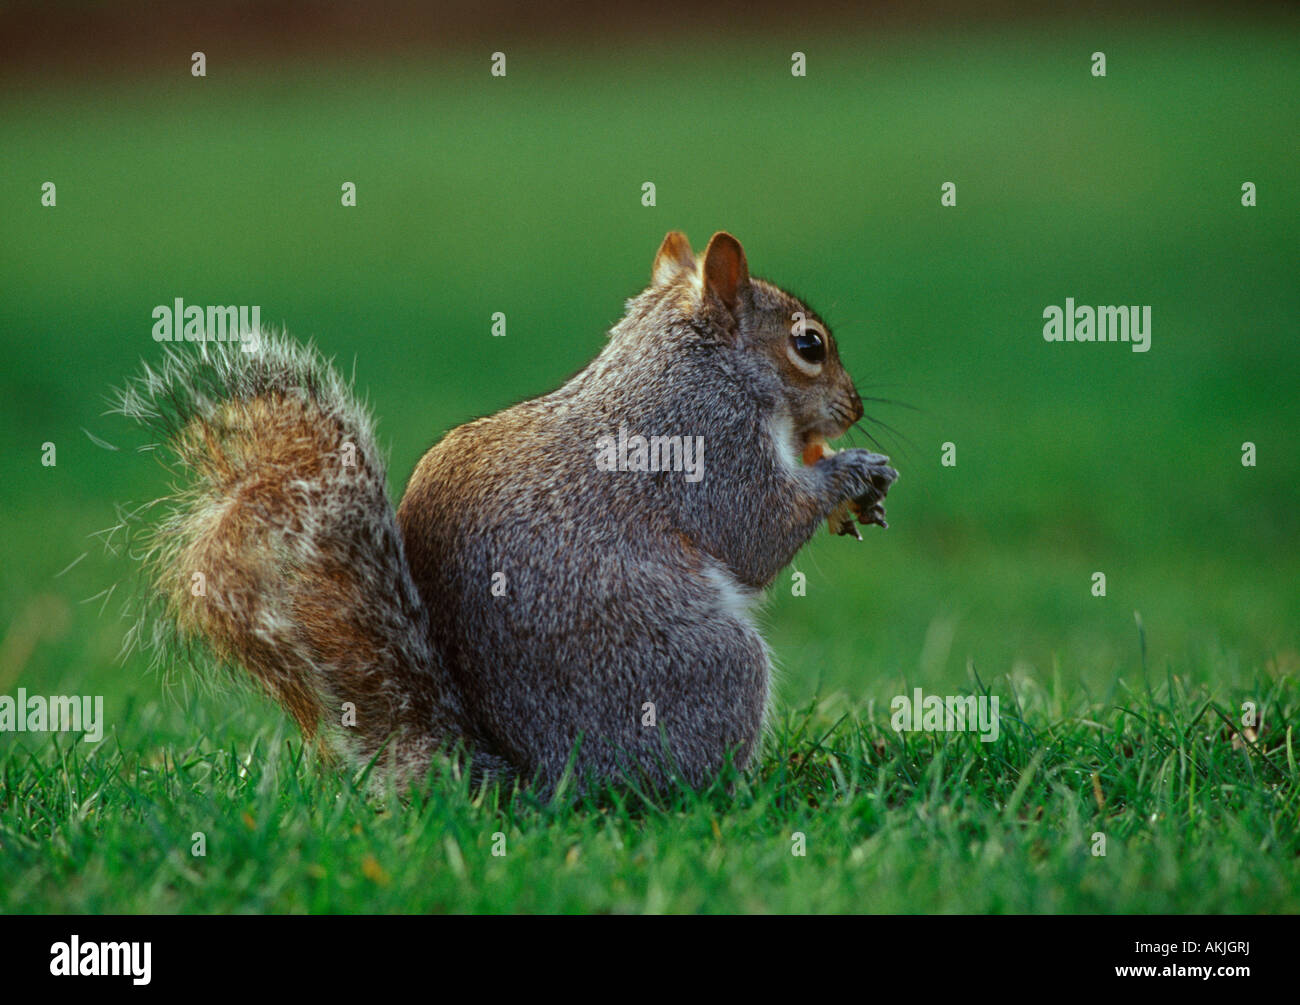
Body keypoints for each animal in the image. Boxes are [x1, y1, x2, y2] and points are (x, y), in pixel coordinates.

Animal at [116, 231, 898, 794]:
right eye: (807, 344)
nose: (854, 407)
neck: (686, 364)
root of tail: (539, 780)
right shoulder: (708, 445)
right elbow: (755, 532)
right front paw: (850, 473)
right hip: (710, 667)